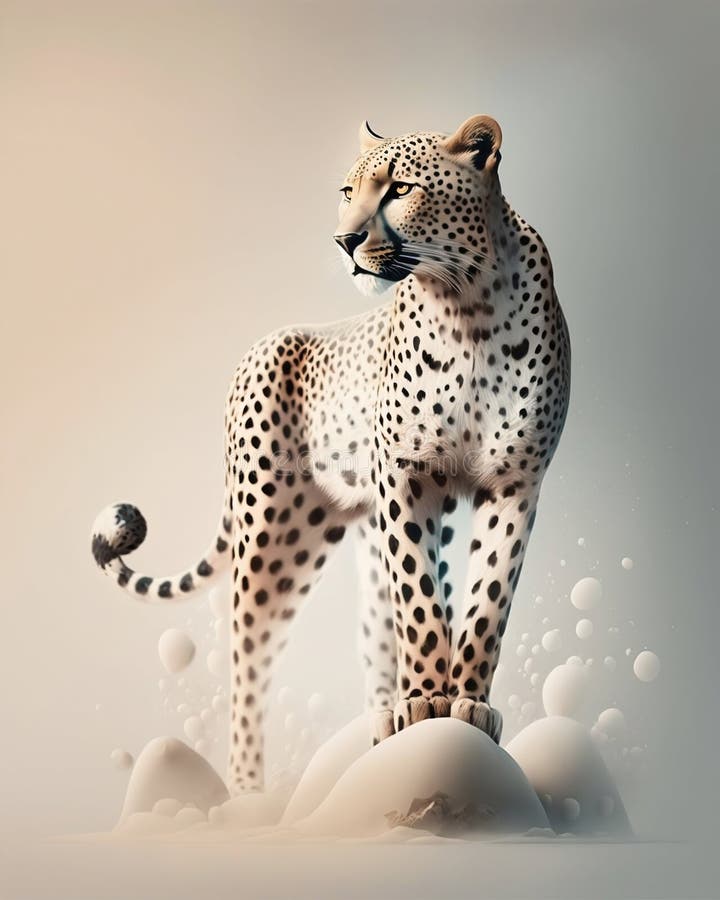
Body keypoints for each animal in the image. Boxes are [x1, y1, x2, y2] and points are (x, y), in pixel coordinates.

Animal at [91, 115, 571, 795]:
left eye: (400, 189)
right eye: (349, 191)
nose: (345, 241)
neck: (468, 302)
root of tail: (262, 345)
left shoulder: (514, 482)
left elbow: (485, 603)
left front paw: (466, 706)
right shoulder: (405, 475)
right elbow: (420, 600)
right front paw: (426, 701)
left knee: (371, 630)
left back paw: (378, 721)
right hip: (276, 532)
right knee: (250, 653)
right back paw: (248, 786)